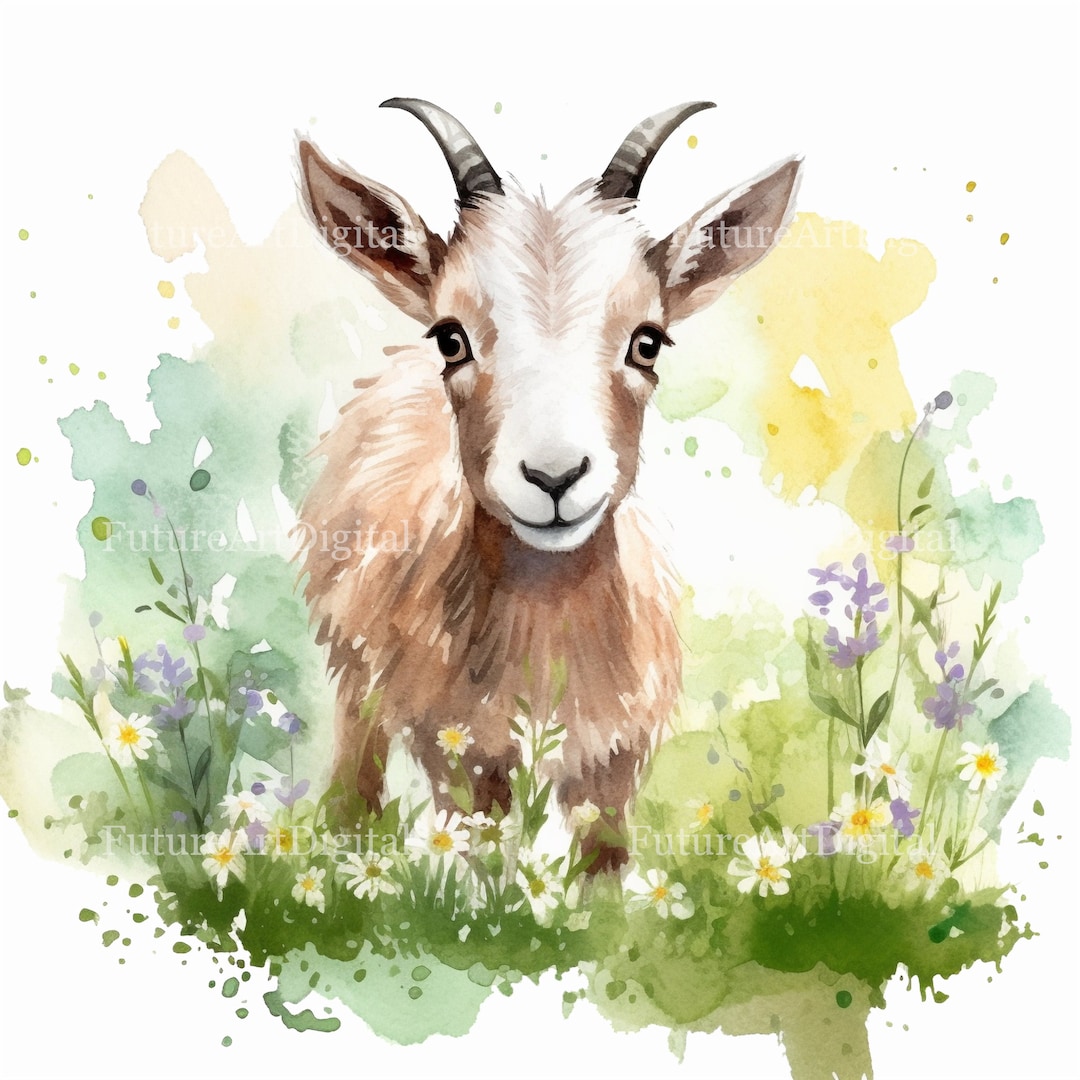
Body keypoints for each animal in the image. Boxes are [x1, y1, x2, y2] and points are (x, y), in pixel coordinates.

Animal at [297, 99, 800, 868]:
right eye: (450, 337)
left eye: (648, 340)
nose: (554, 477)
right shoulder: (463, 762)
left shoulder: (615, 768)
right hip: (356, 676)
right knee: (358, 765)